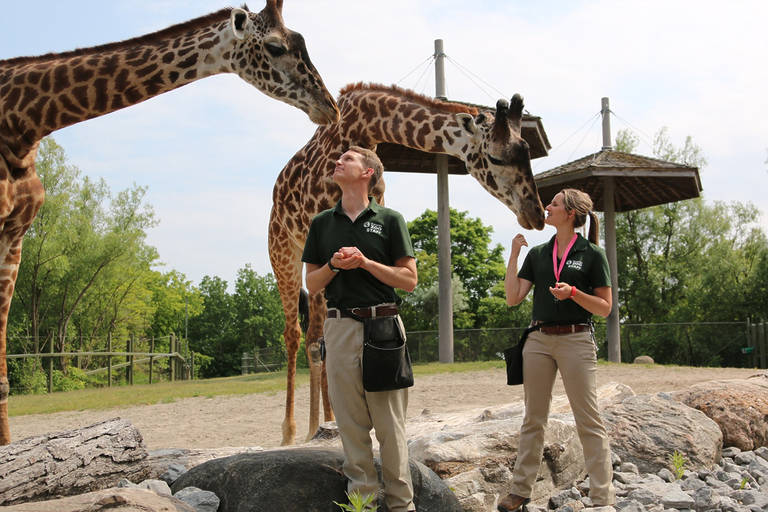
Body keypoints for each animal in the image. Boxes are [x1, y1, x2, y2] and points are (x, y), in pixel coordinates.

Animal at [269, 82, 546, 445]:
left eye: (526, 151)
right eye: (497, 157)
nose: (536, 214)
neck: (361, 127)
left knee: (317, 337)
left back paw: (323, 422)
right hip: (282, 251)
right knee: (295, 334)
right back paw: (291, 432)